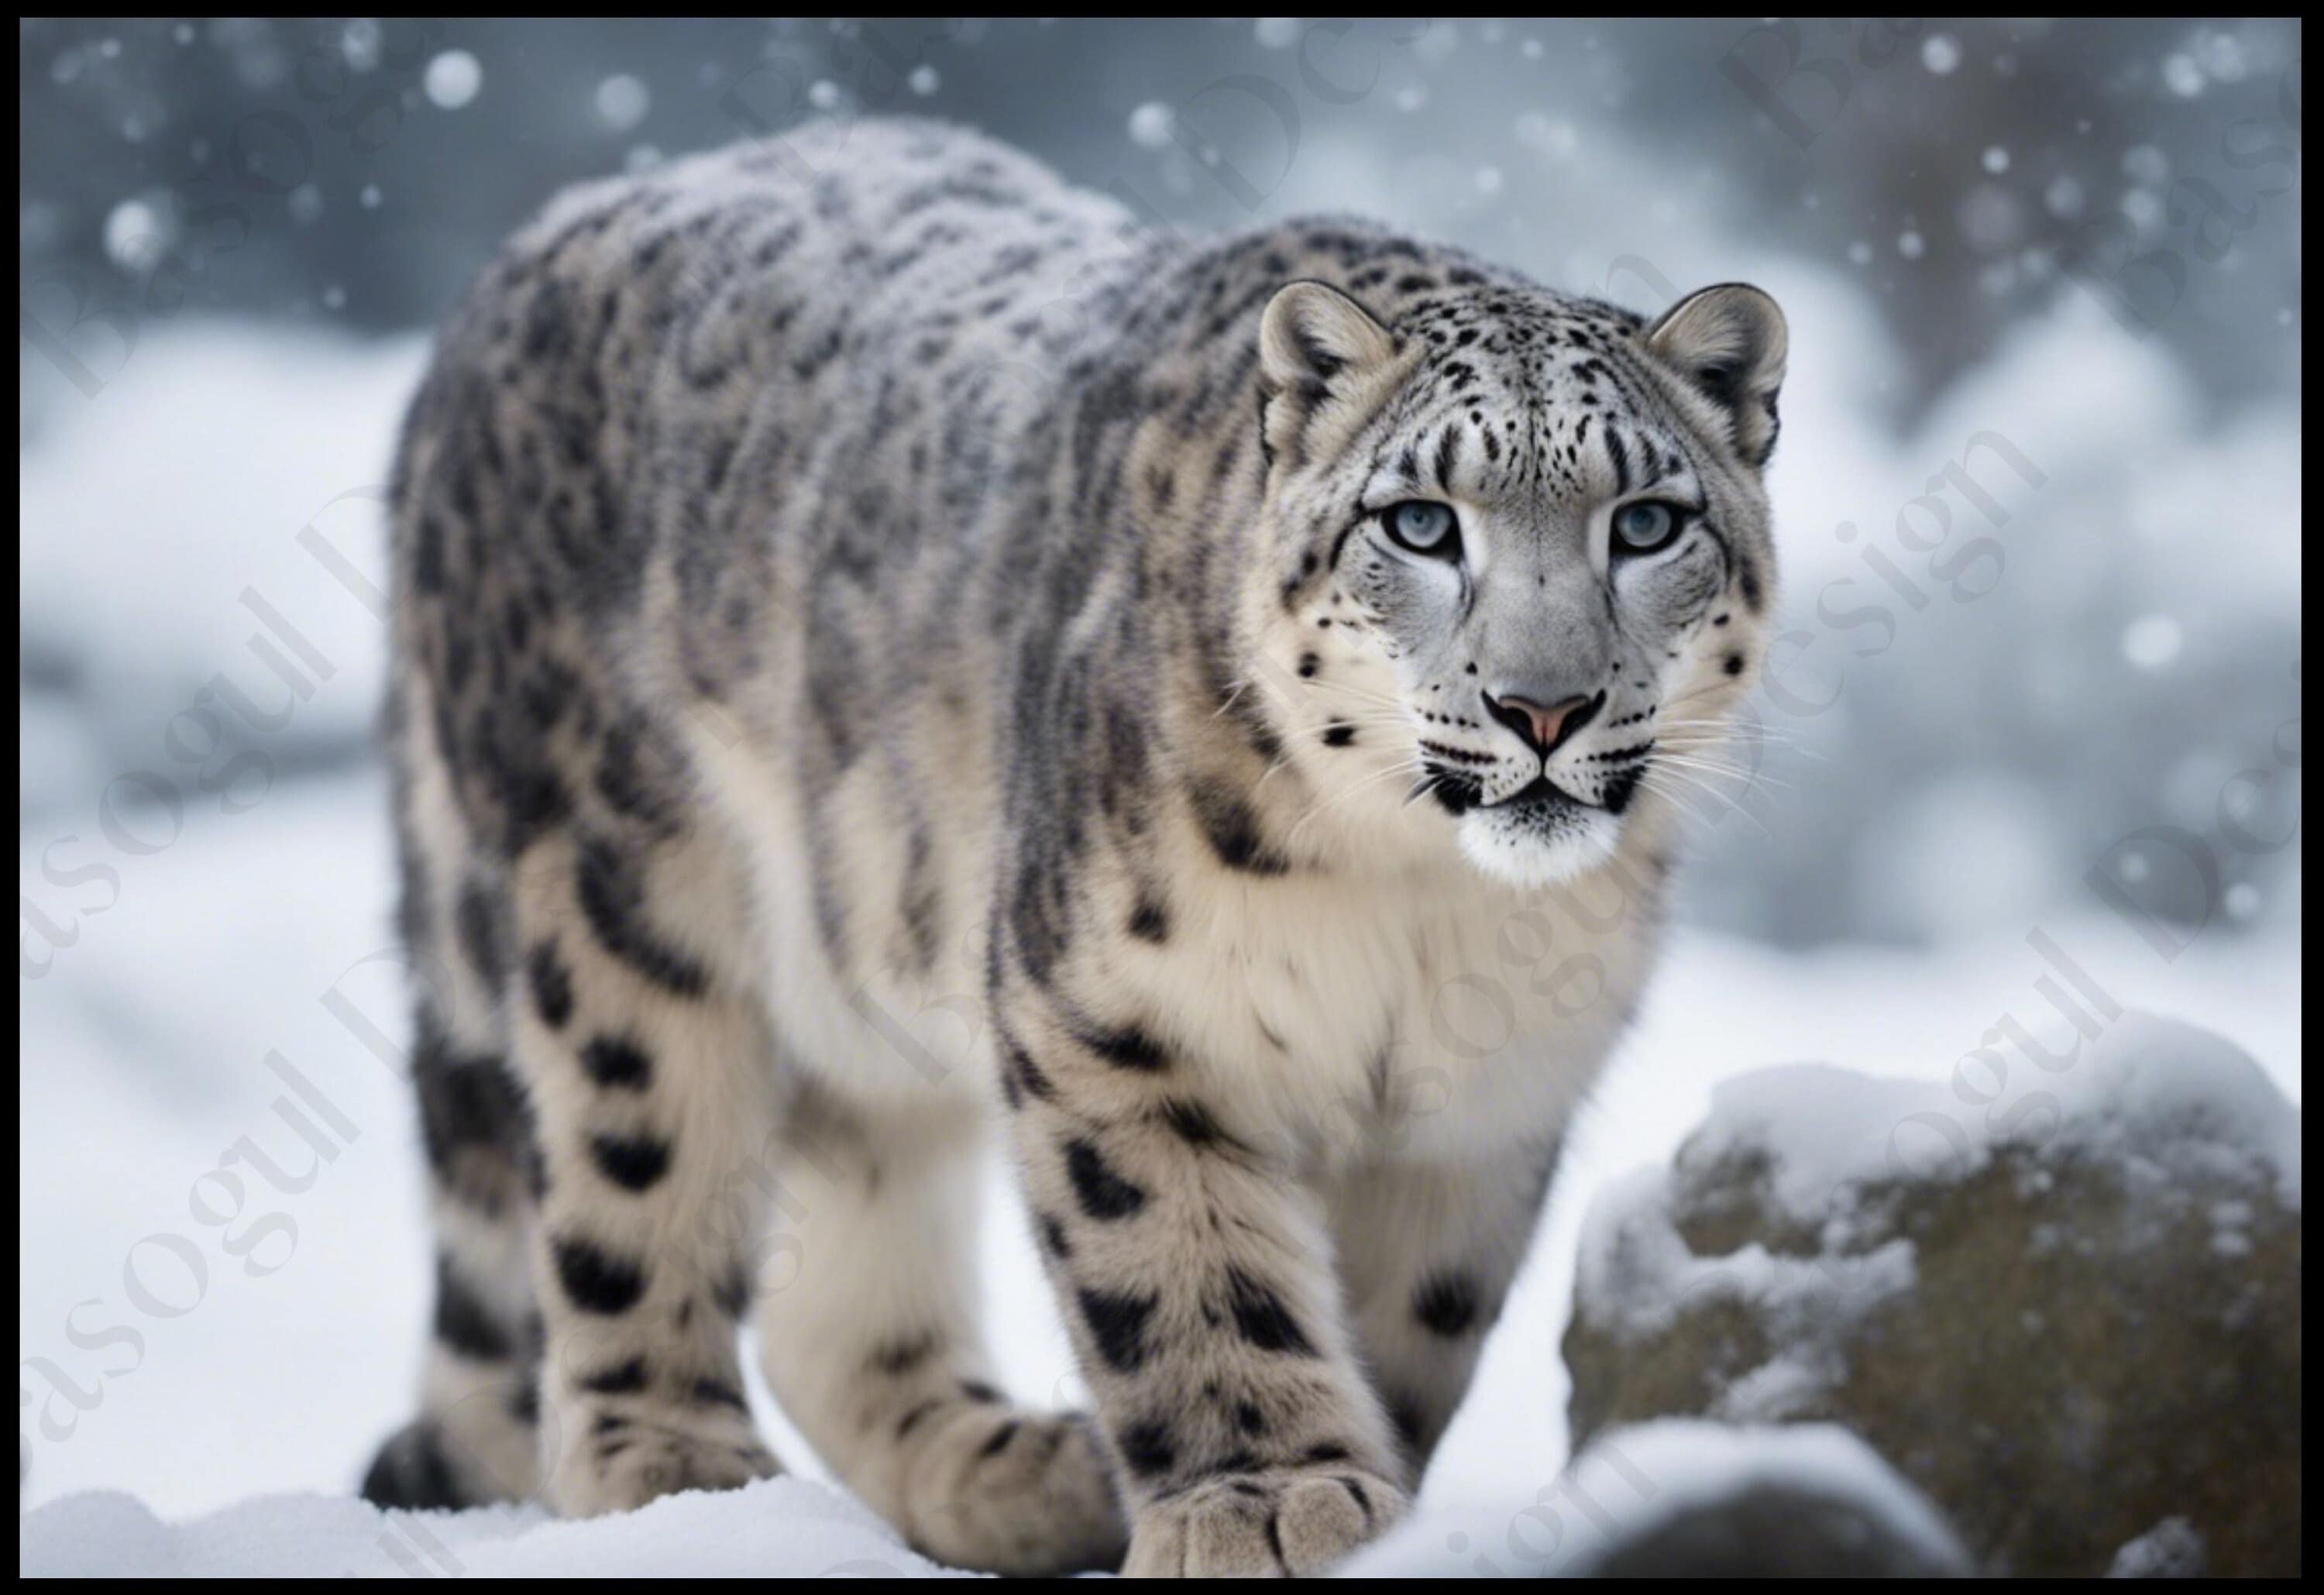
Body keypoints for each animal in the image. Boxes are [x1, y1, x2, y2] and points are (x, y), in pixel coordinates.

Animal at [358, 116, 1786, 1577]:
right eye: (1422, 521)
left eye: (1647, 521)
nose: (1542, 705)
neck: (1419, 906)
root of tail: (525, 256)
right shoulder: (1116, 1011)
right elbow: (1180, 1261)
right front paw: (1267, 1498)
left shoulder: (1485, 1098)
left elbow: (1413, 1318)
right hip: (624, 903)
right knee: (630, 1181)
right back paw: (684, 1482)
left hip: (861, 977)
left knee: (843, 1276)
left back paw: (1018, 1467)